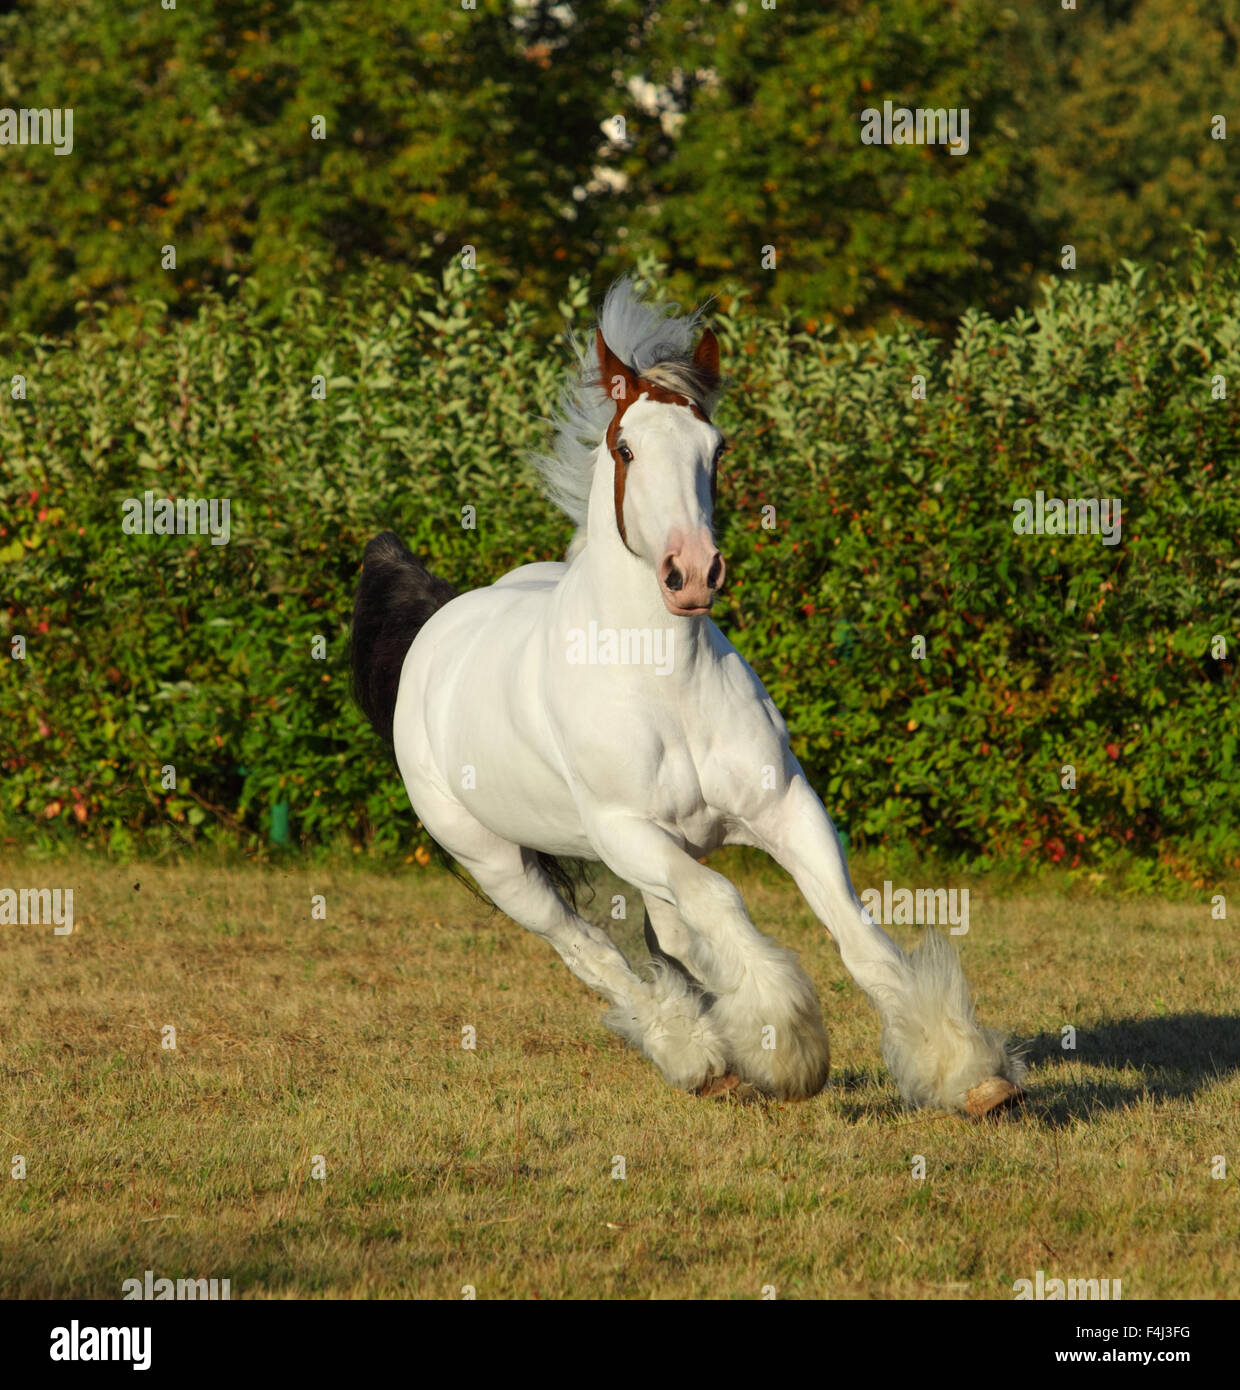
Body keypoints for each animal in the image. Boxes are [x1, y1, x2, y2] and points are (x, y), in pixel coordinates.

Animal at [351, 278, 1026, 1115]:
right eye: (625, 447)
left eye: (717, 447)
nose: (693, 572)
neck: (664, 683)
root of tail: (438, 620)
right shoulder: (628, 834)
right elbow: (723, 905)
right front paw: (789, 1049)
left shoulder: (786, 809)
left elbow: (853, 931)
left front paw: (965, 1071)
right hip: (498, 866)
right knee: (594, 953)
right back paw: (696, 1056)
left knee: (674, 946)